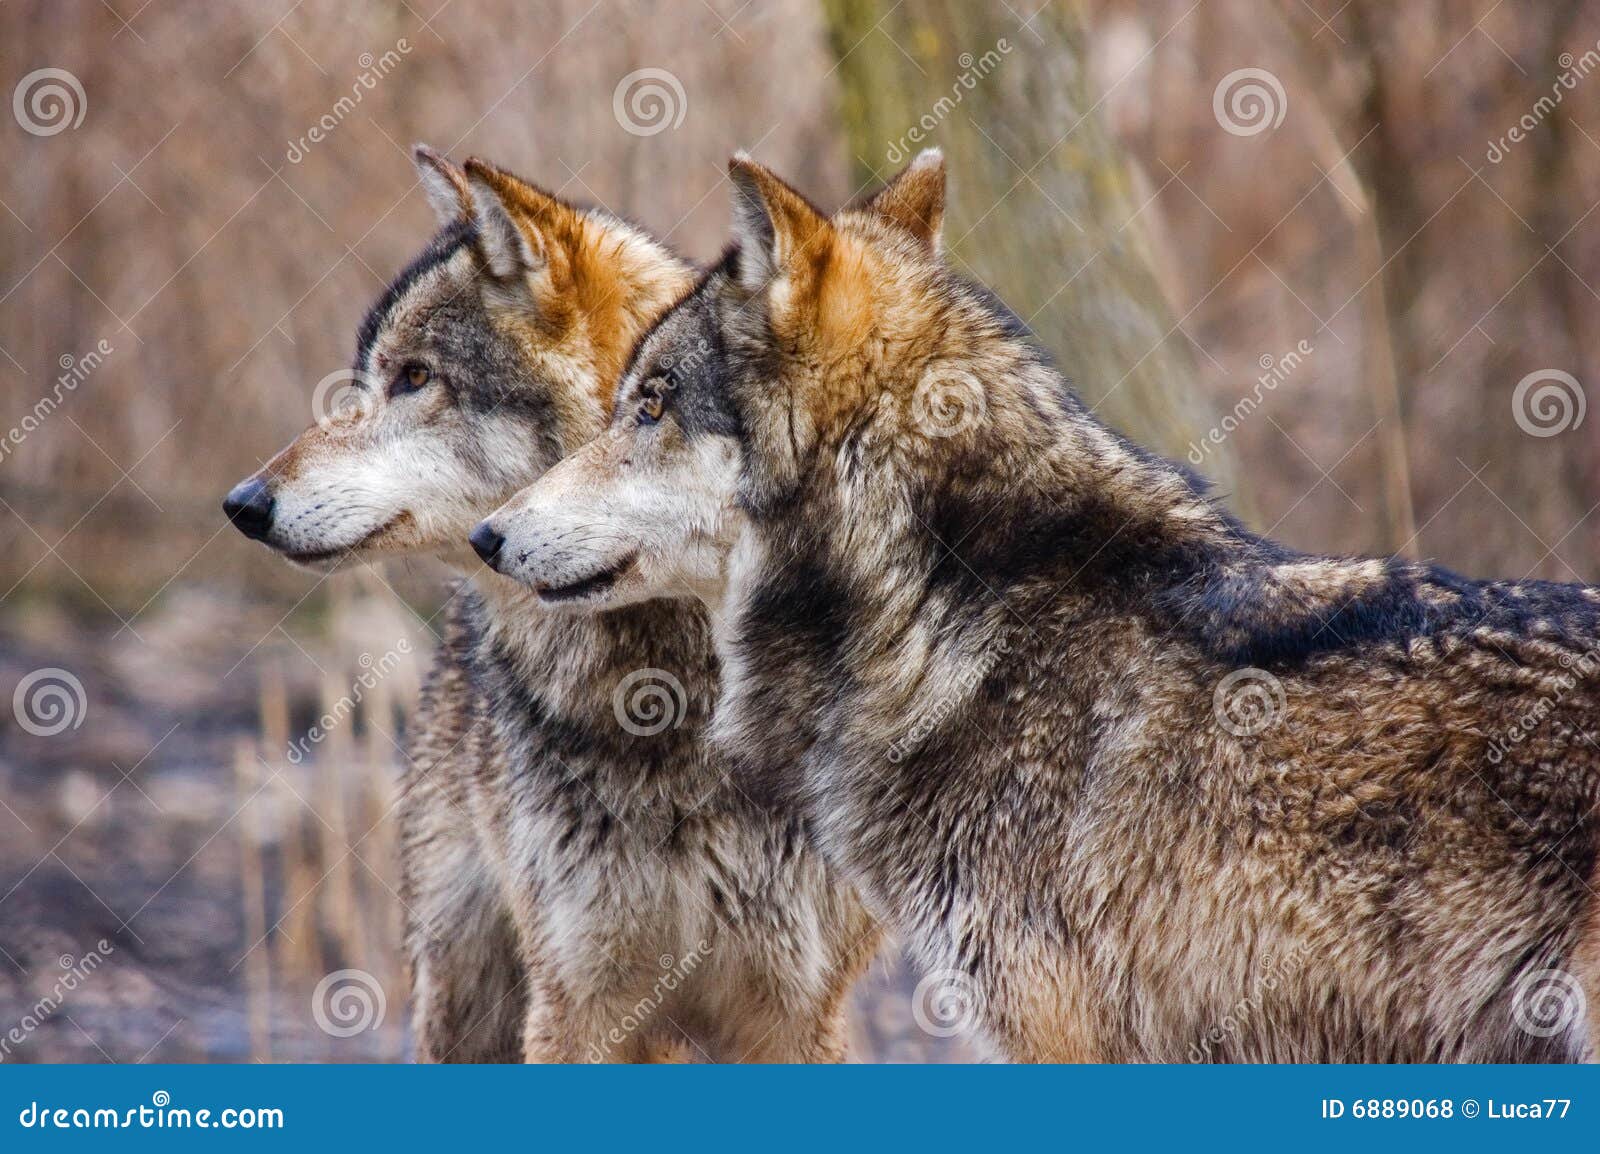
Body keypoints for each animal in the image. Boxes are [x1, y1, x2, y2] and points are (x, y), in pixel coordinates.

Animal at [222, 147, 877, 1062]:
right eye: (363, 379)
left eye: (415, 377)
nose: (243, 504)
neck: (671, 699)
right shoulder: (574, 994)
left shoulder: (798, 1009)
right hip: (463, 997)